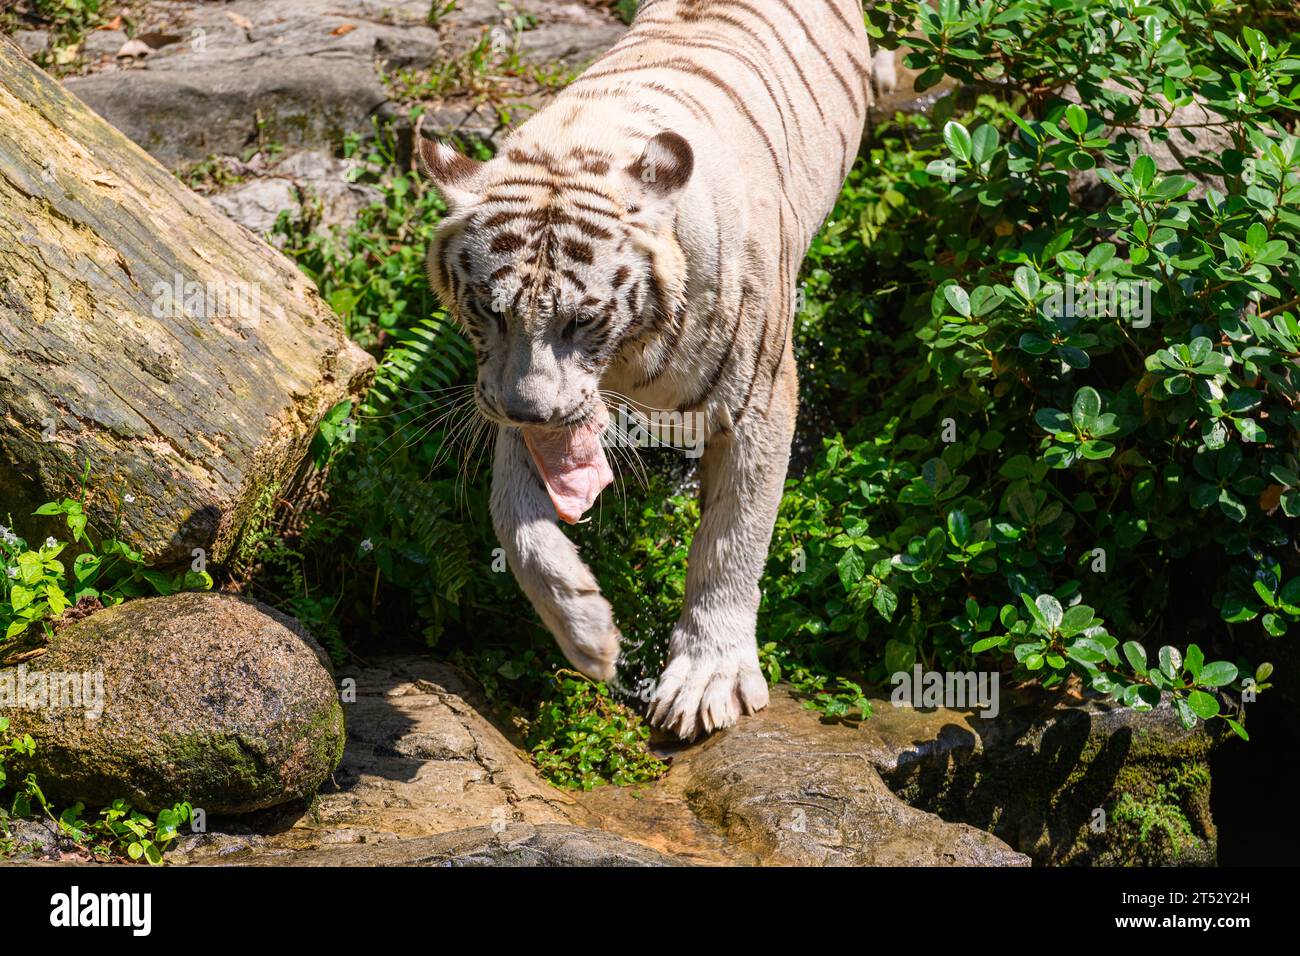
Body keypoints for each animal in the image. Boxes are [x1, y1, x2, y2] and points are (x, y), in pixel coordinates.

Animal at [417, 0, 871, 739]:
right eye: (488, 309)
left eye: (582, 319)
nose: (526, 411)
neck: (626, 360)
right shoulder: (513, 394)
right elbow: (514, 518)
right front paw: (589, 636)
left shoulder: (759, 402)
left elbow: (732, 537)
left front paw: (707, 677)